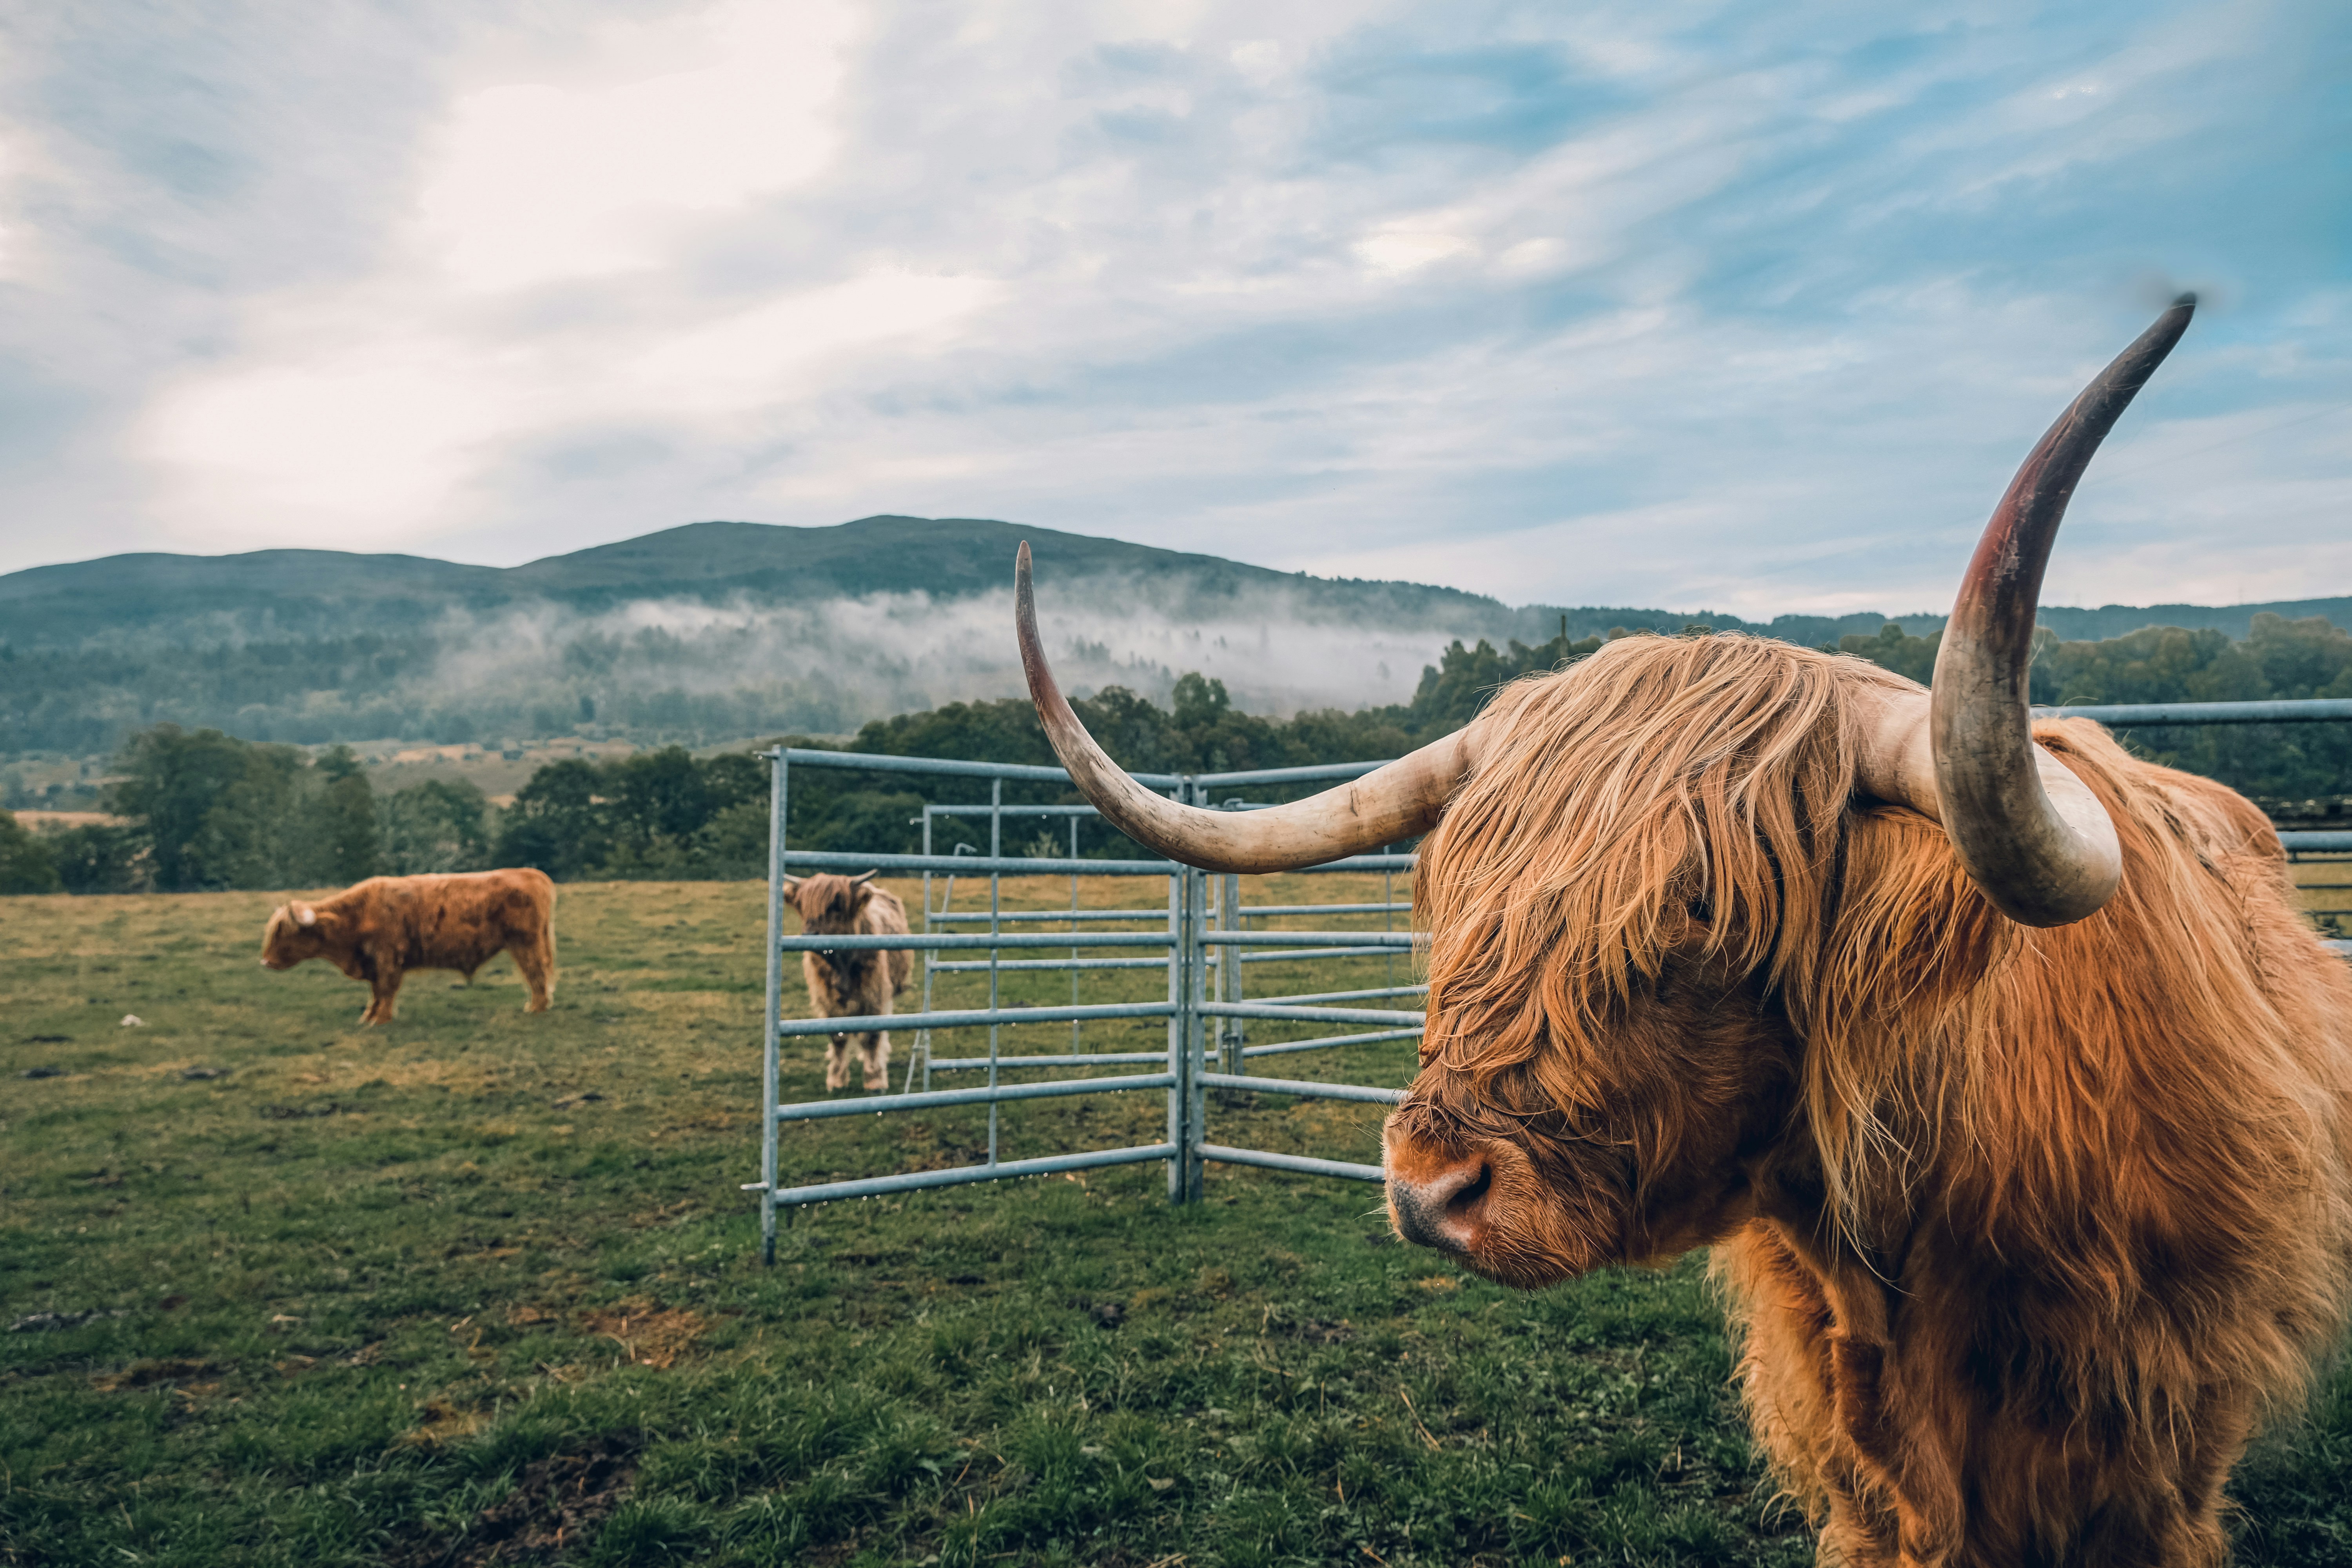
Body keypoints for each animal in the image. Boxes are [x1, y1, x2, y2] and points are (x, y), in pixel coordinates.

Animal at [260, 868, 557, 1025]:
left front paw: (379, 1020)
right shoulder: (374, 963)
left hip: (525, 943)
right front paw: (368, 1017)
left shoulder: (387, 959)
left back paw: (536, 1008)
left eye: (283, 933)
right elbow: (376, 992)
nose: (265, 962)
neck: (358, 915)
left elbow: (386, 990)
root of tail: (530, 873)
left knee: (536, 973)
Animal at [781, 871, 913, 1091]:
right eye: (802, 905)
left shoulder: (873, 995)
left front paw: (874, 1079)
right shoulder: (827, 999)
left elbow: (871, 1036)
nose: (809, 935)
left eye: (836, 905)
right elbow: (838, 1037)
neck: (841, 965)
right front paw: (837, 1079)